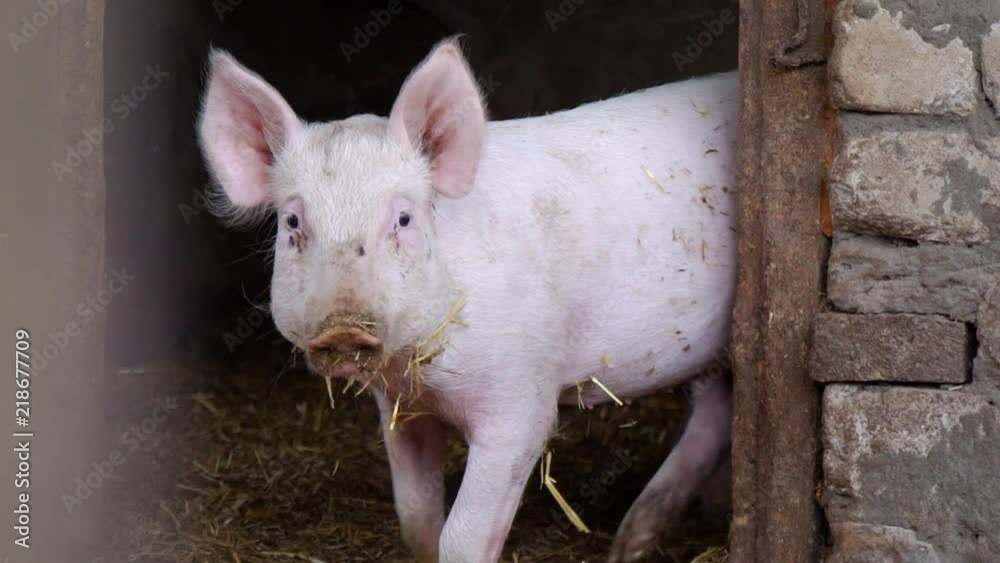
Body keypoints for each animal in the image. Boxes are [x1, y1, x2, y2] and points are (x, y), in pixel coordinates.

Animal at [198, 38, 738, 563]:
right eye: (293, 222)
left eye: (403, 219)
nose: (343, 325)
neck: (420, 369)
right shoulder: (400, 404)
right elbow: (415, 519)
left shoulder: (520, 404)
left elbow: (462, 537)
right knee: (715, 412)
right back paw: (631, 544)